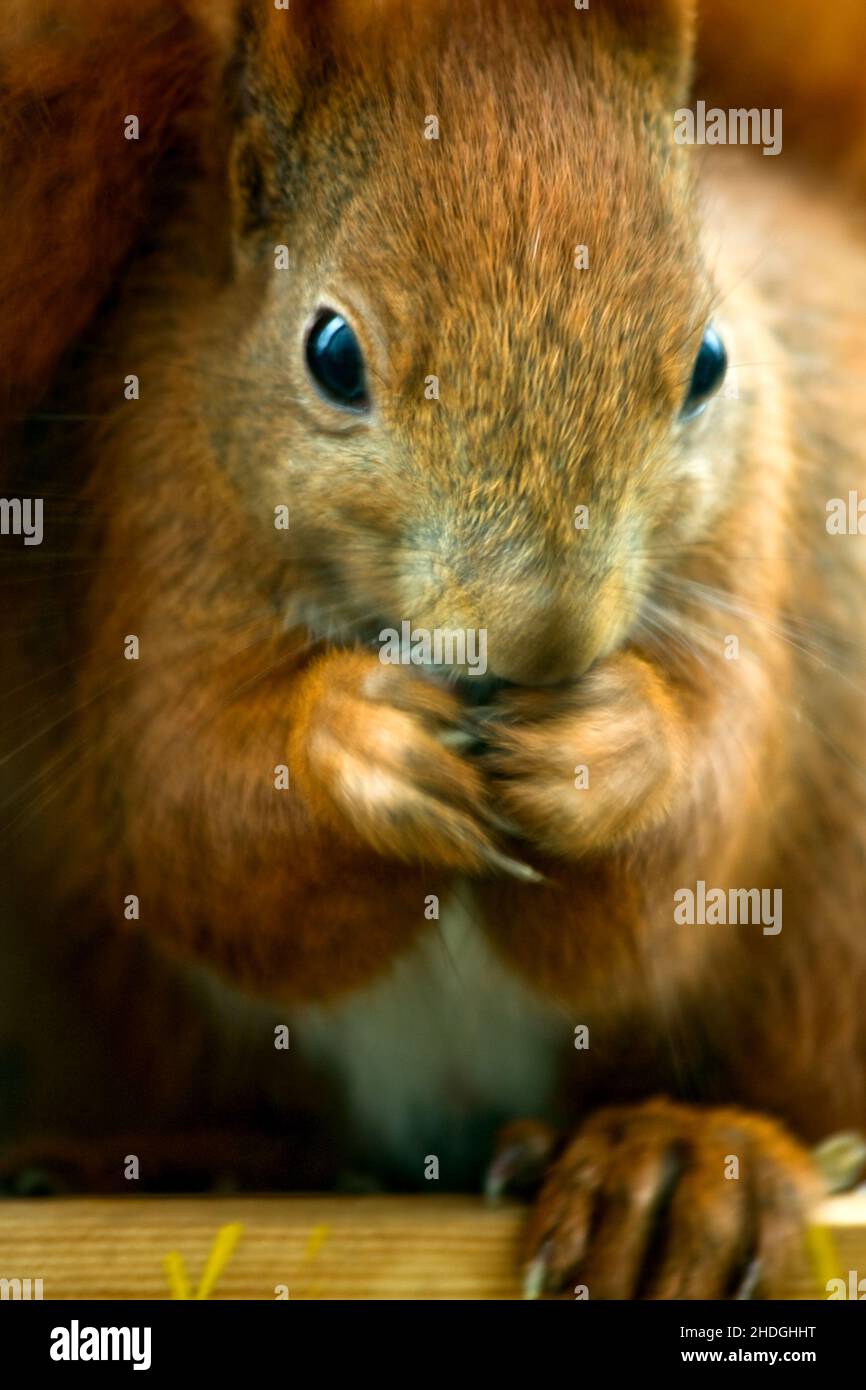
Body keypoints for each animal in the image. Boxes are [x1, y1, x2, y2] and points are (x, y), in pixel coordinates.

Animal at [2, 0, 866, 1298]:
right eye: (330, 355)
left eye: (708, 363)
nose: (540, 636)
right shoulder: (149, 507)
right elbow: (190, 812)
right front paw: (358, 748)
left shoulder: (752, 532)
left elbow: (688, 846)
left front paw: (605, 752)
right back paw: (183, 1162)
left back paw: (686, 1163)